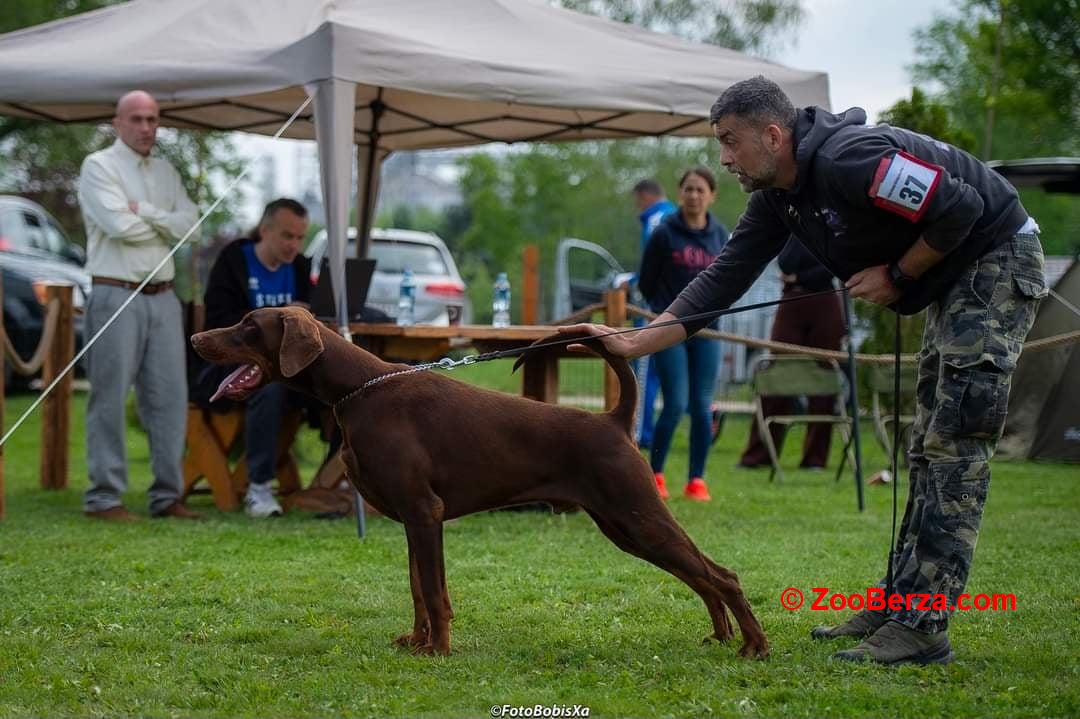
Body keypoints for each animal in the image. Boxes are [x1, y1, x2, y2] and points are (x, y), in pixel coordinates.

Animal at [194, 304, 768, 656]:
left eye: (248, 324)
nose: (197, 337)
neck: (359, 391)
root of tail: (612, 419)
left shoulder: (425, 512)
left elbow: (434, 590)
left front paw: (439, 651)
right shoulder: (412, 520)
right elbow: (418, 589)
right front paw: (418, 642)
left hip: (638, 514)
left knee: (723, 575)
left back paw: (753, 646)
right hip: (624, 527)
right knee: (702, 576)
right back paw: (721, 637)